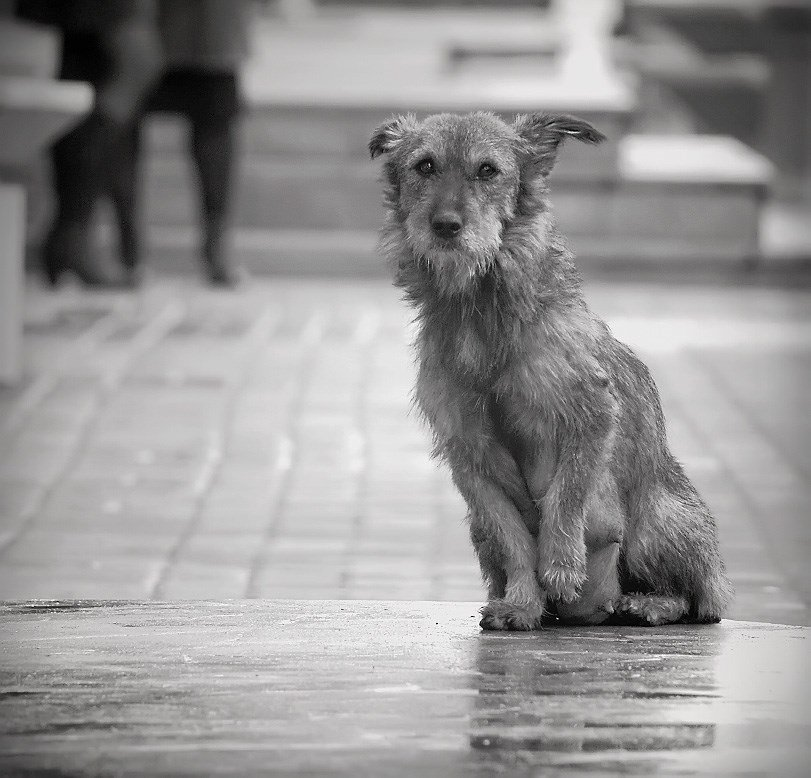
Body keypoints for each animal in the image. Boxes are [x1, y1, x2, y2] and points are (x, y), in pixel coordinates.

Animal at [370, 112, 736, 628]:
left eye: (488, 170)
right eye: (425, 166)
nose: (445, 226)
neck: (482, 311)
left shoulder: (593, 415)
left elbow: (566, 496)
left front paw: (562, 567)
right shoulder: (470, 455)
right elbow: (514, 539)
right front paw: (524, 602)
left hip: (656, 522)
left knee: (699, 601)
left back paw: (648, 602)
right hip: (476, 530)